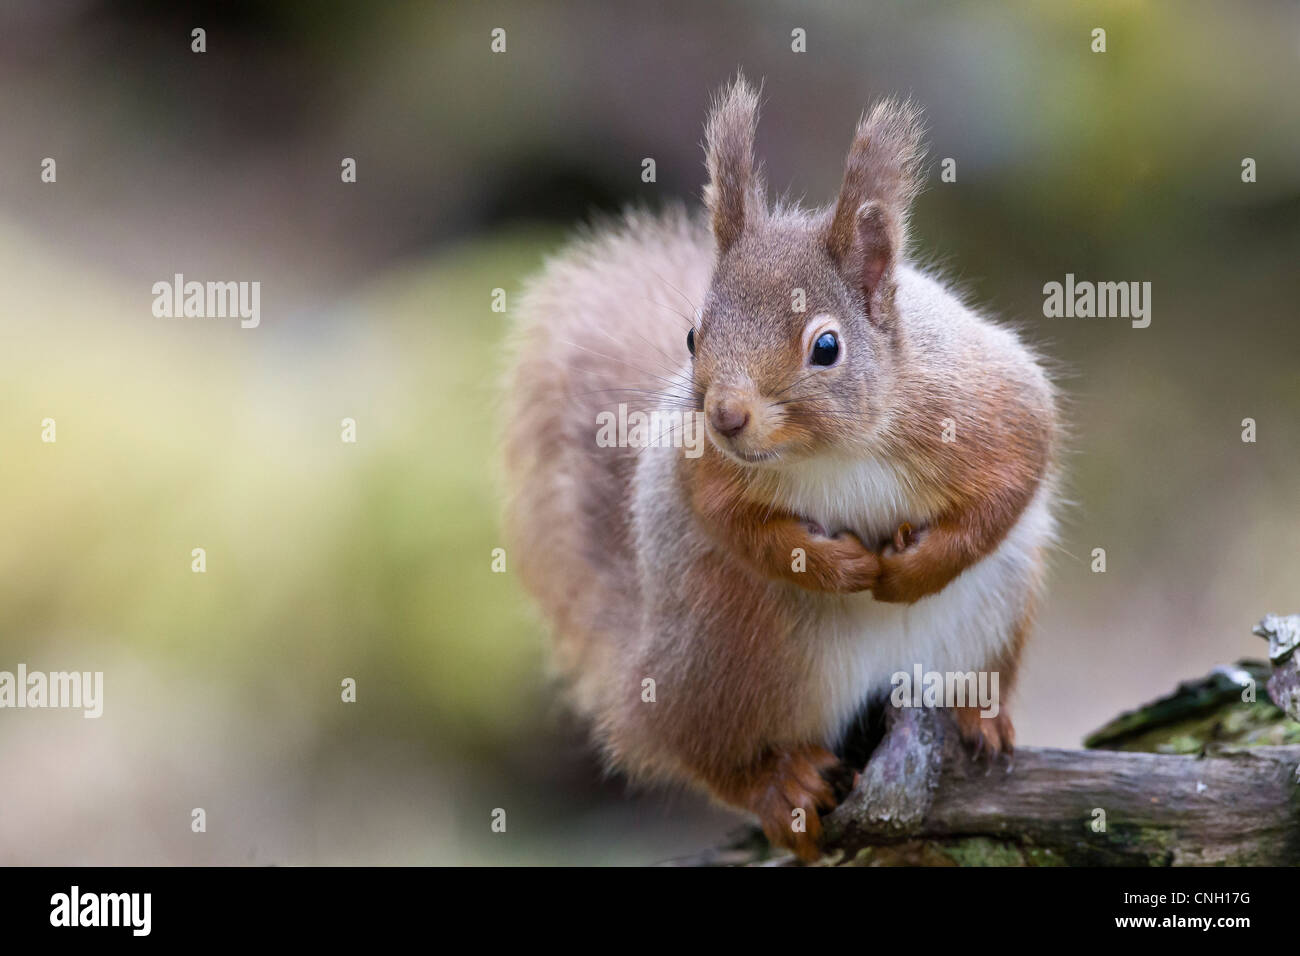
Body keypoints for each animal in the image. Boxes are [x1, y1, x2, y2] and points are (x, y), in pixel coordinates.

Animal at [503, 75, 1060, 861]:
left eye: (826, 347)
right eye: (692, 336)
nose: (726, 416)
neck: (830, 449)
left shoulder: (985, 404)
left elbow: (1016, 474)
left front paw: (911, 570)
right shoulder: (705, 468)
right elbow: (729, 521)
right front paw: (838, 567)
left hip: (995, 614)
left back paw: (977, 717)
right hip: (727, 649)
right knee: (701, 753)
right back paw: (778, 786)